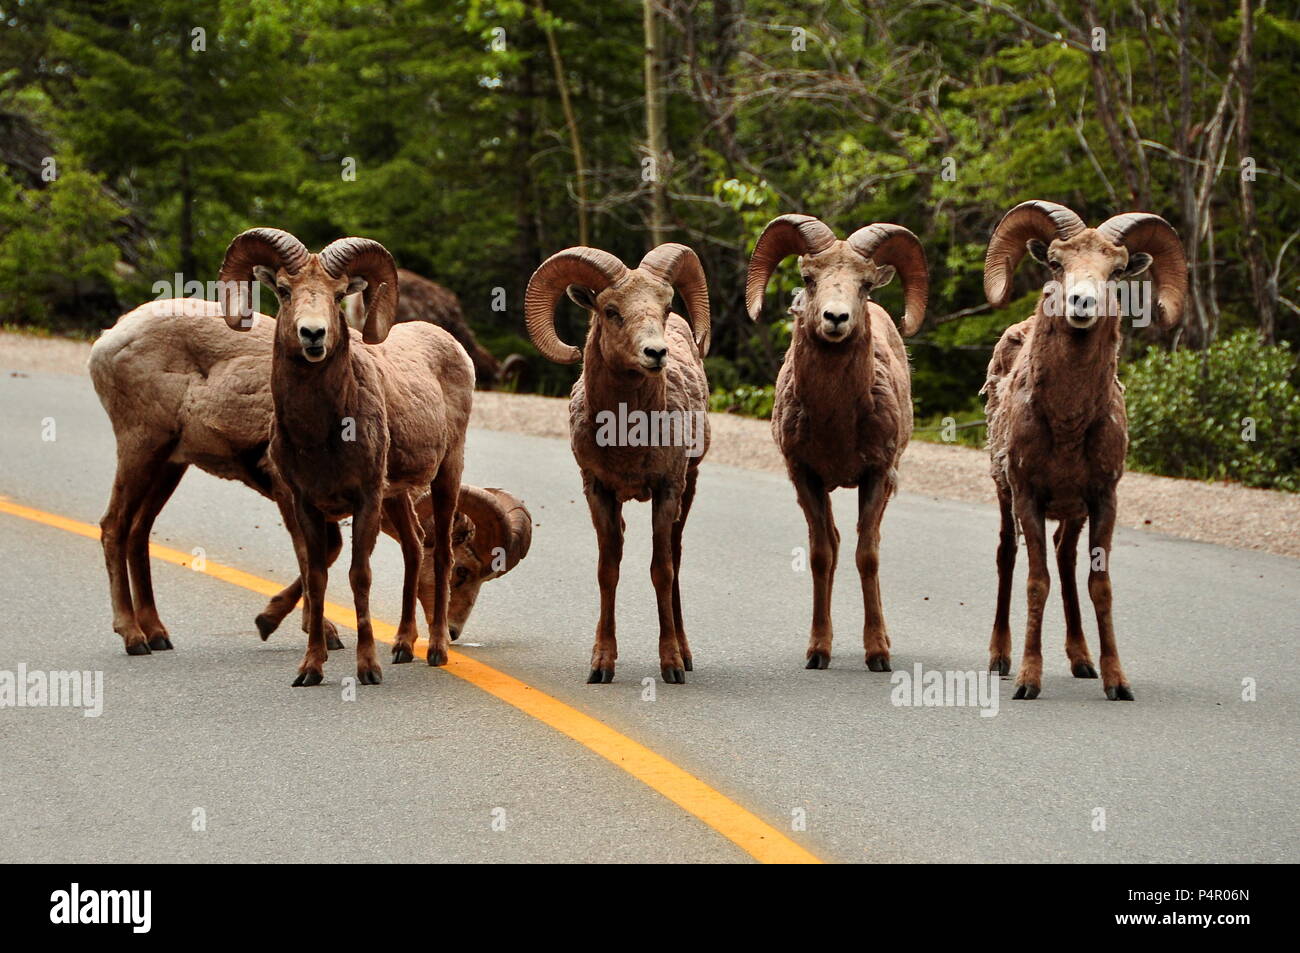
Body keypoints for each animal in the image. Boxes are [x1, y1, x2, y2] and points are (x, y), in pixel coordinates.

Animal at [89, 297, 527, 653]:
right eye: (463, 571)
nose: (452, 631)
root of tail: (108, 342)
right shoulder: (290, 490)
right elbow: (316, 552)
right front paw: (301, 629)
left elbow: (334, 552)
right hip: (141, 448)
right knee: (114, 526)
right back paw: (134, 637)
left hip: (170, 464)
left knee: (138, 532)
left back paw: (158, 634)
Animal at [217, 228, 474, 685]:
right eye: (284, 290)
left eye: (338, 295)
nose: (313, 334)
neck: (320, 436)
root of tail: (452, 345)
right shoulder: (306, 503)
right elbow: (316, 576)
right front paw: (310, 669)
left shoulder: (366, 499)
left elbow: (360, 575)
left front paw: (368, 668)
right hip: (398, 496)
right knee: (414, 547)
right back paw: (402, 646)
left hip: (447, 474)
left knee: (441, 553)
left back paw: (436, 650)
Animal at [524, 243, 711, 684]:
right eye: (611, 310)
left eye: (665, 306)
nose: (656, 353)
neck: (626, 436)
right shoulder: (599, 491)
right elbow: (607, 570)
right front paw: (601, 665)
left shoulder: (667, 489)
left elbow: (662, 570)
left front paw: (671, 664)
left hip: (689, 487)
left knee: (676, 558)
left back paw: (686, 654)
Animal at [745, 215, 929, 671]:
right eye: (809, 279)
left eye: (864, 285)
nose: (835, 318)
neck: (836, 422)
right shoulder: (806, 477)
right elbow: (821, 555)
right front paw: (818, 651)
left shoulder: (877, 476)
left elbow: (868, 555)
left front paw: (878, 653)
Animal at [980, 200, 1188, 701]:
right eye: (1057, 263)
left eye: (1116, 271)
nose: (1081, 303)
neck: (1069, 424)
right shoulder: (1028, 496)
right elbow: (1036, 582)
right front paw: (1027, 681)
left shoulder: (1102, 498)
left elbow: (1100, 586)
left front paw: (1117, 682)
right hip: (1004, 495)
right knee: (1007, 556)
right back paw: (1000, 657)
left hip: (1072, 513)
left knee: (1066, 559)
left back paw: (1082, 661)